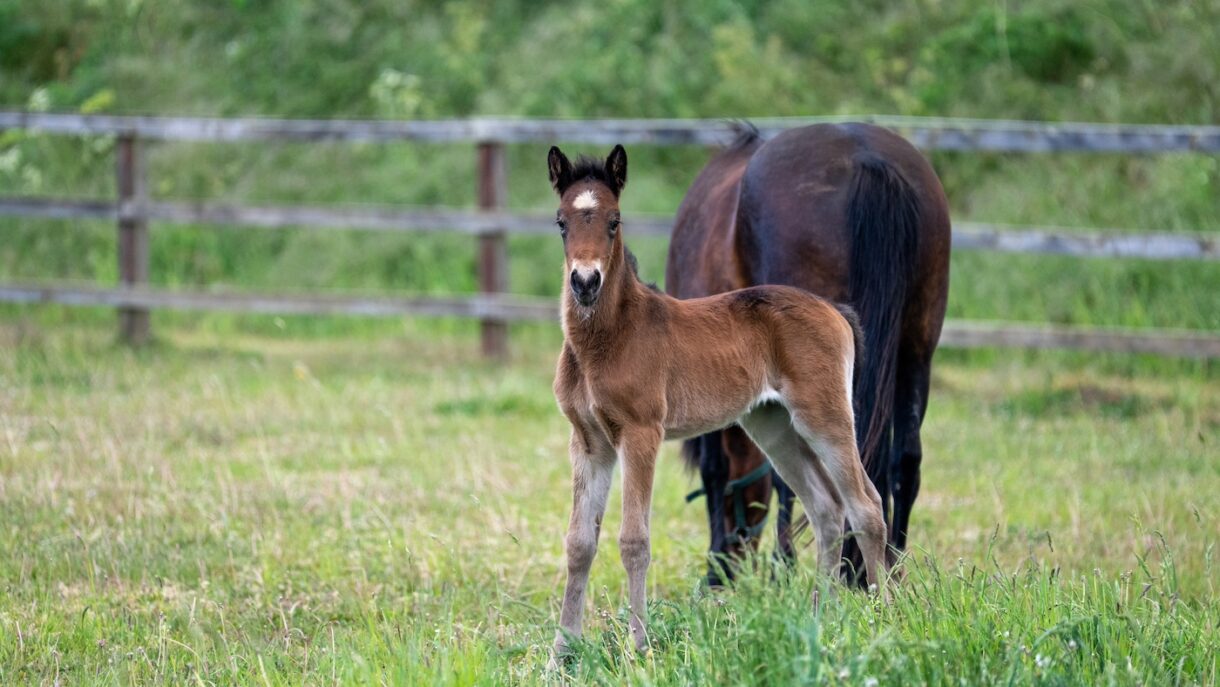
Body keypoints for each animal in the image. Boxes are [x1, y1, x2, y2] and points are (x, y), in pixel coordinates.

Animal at [546, 144, 891, 660]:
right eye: (561, 222)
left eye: (614, 220)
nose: (585, 282)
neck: (609, 337)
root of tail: (834, 310)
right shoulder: (589, 441)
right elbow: (579, 541)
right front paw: (561, 654)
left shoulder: (641, 433)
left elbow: (634, 540)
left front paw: (639, 648)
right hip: (773, 426)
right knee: (827, 508)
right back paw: (822, 620)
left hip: (824, 417)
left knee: (866, 505)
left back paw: (886, 616)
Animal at [667, 122, 951, 586]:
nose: (734, 561)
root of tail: (866, 158)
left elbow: (715, 467)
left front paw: (720, 570)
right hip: (916, 348)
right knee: (904, 461)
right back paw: (887, 568)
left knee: (799, 481)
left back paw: (792, 565)